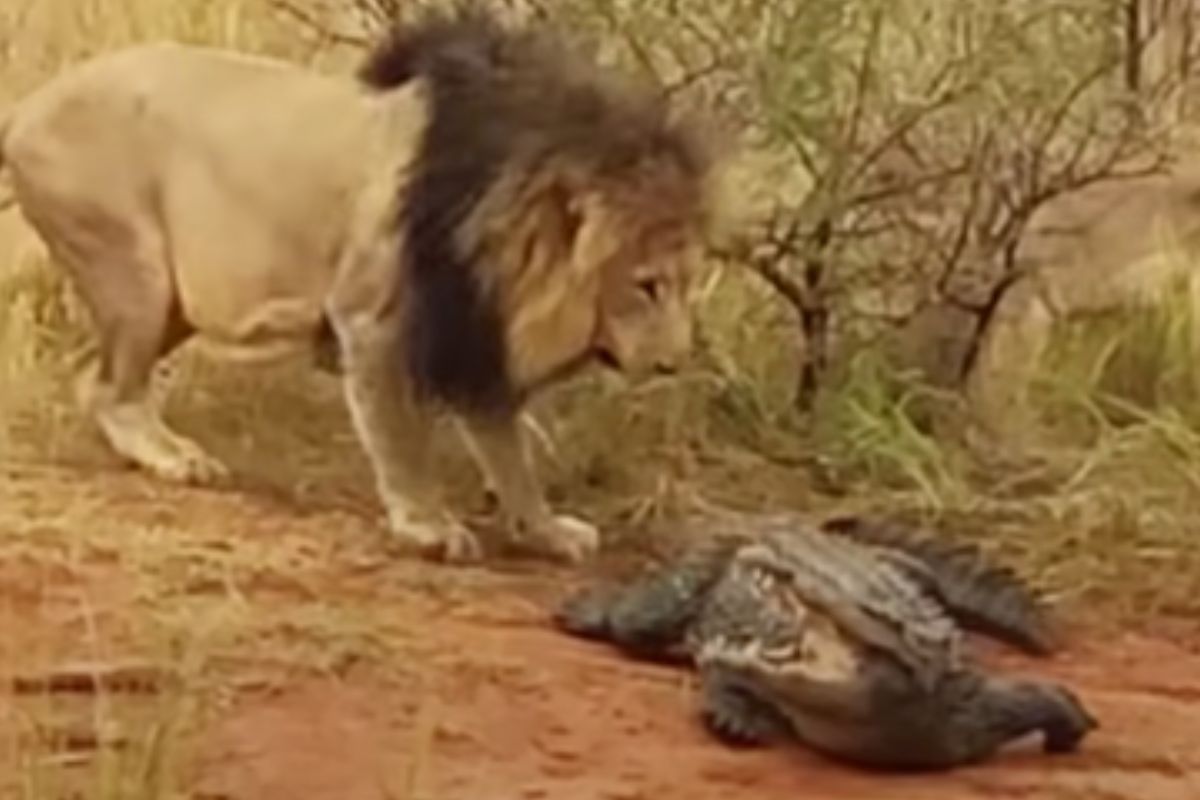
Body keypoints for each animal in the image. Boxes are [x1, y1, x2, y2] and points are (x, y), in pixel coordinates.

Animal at [0, 5, 725, 564]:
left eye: (687, 283)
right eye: (647, 285)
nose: (675, 362)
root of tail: (30, 103)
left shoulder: (474, 330)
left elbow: (509, 454)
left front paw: (544, 530)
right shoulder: (377, 319)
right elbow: (402, 434)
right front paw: (427, 525)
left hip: (176, 299)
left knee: (94, 379)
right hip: (138, 272)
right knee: (111, 389)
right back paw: (173, 457)